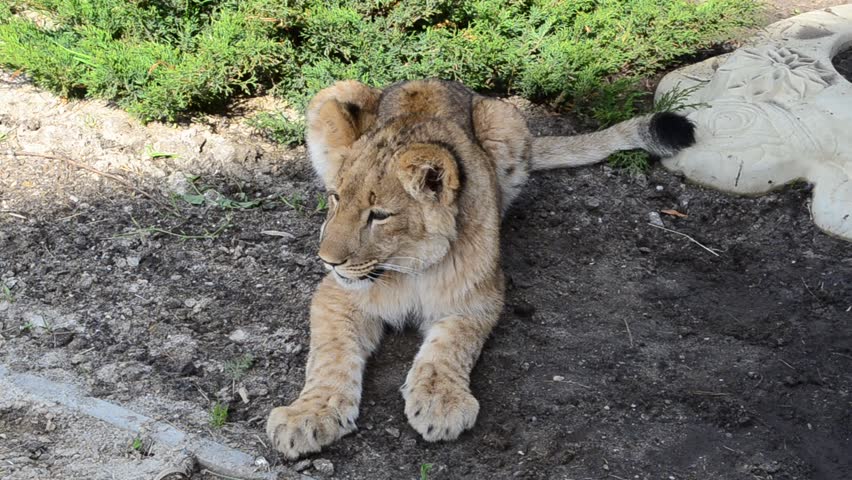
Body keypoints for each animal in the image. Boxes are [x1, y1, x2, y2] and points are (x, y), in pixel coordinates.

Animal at [266, 79, 695, 459]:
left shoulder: (479, 297)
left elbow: (448, 349)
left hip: (505, 120)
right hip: (333, 93)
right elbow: (331, 356)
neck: (410, 265)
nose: (327, 259)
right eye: (336, 198)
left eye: (379, 215)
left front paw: (440, 402)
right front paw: (309, 415)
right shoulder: (336, 295)